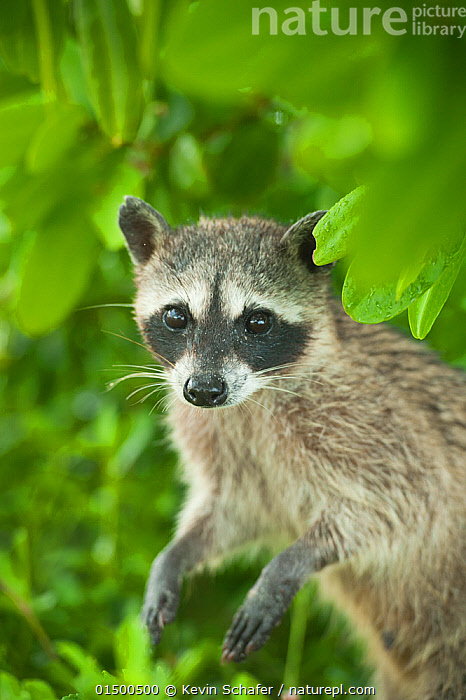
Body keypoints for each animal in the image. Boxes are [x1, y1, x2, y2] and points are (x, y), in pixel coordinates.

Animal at [118, 196, 466, 700]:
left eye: (257, 322)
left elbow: (406, 503)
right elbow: (234, 509)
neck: (251, 399)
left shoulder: (375, 421)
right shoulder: (222, 441)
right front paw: (176, 555)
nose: (204, 391)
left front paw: (287, 565)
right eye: (177, 317)